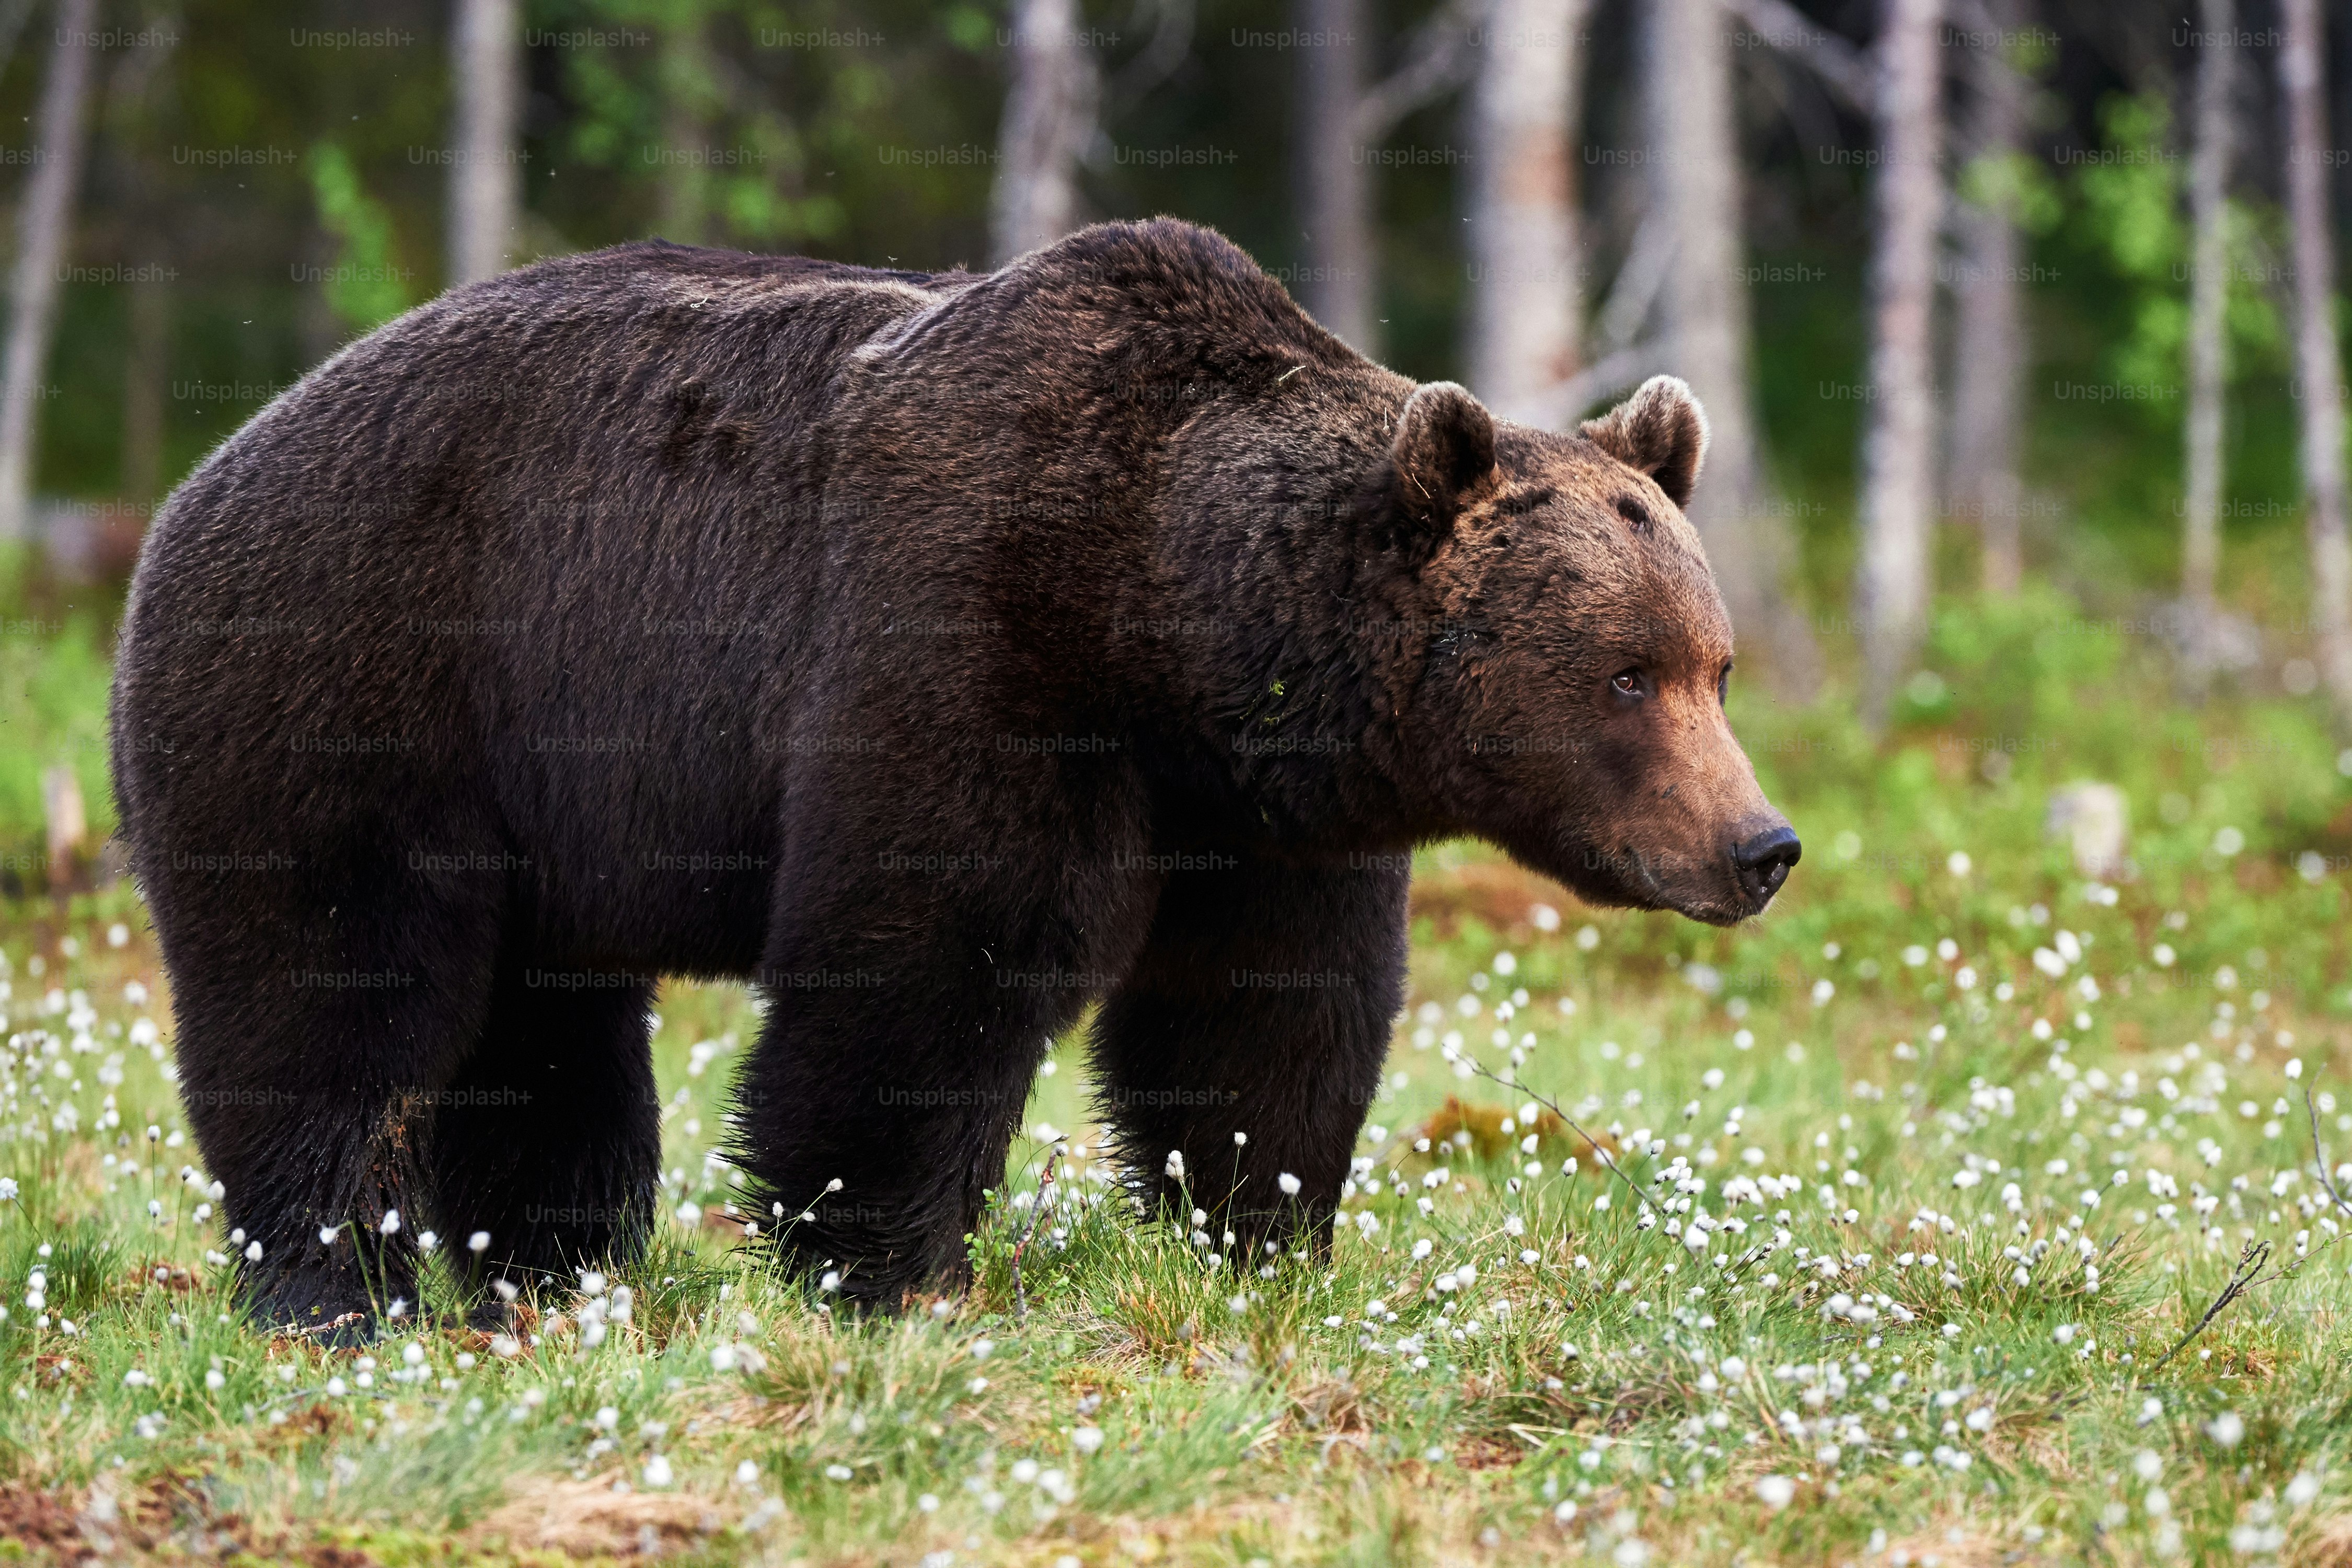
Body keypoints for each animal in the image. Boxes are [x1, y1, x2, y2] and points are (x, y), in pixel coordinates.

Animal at [109, 218, 1797, 1332]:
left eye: (1714, 663)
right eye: (1624, 673)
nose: (1758, 843)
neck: (1172, 617)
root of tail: (194, 483)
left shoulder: (1258, 812)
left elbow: (1263, 1015)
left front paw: (1260, 1237)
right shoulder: (971, 637)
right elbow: (925, 965)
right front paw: (887, 1266)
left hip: (539, 806)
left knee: (543, 1031)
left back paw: (553, 1262)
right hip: (365, 689)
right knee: (339, 998)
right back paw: (338, 1280)